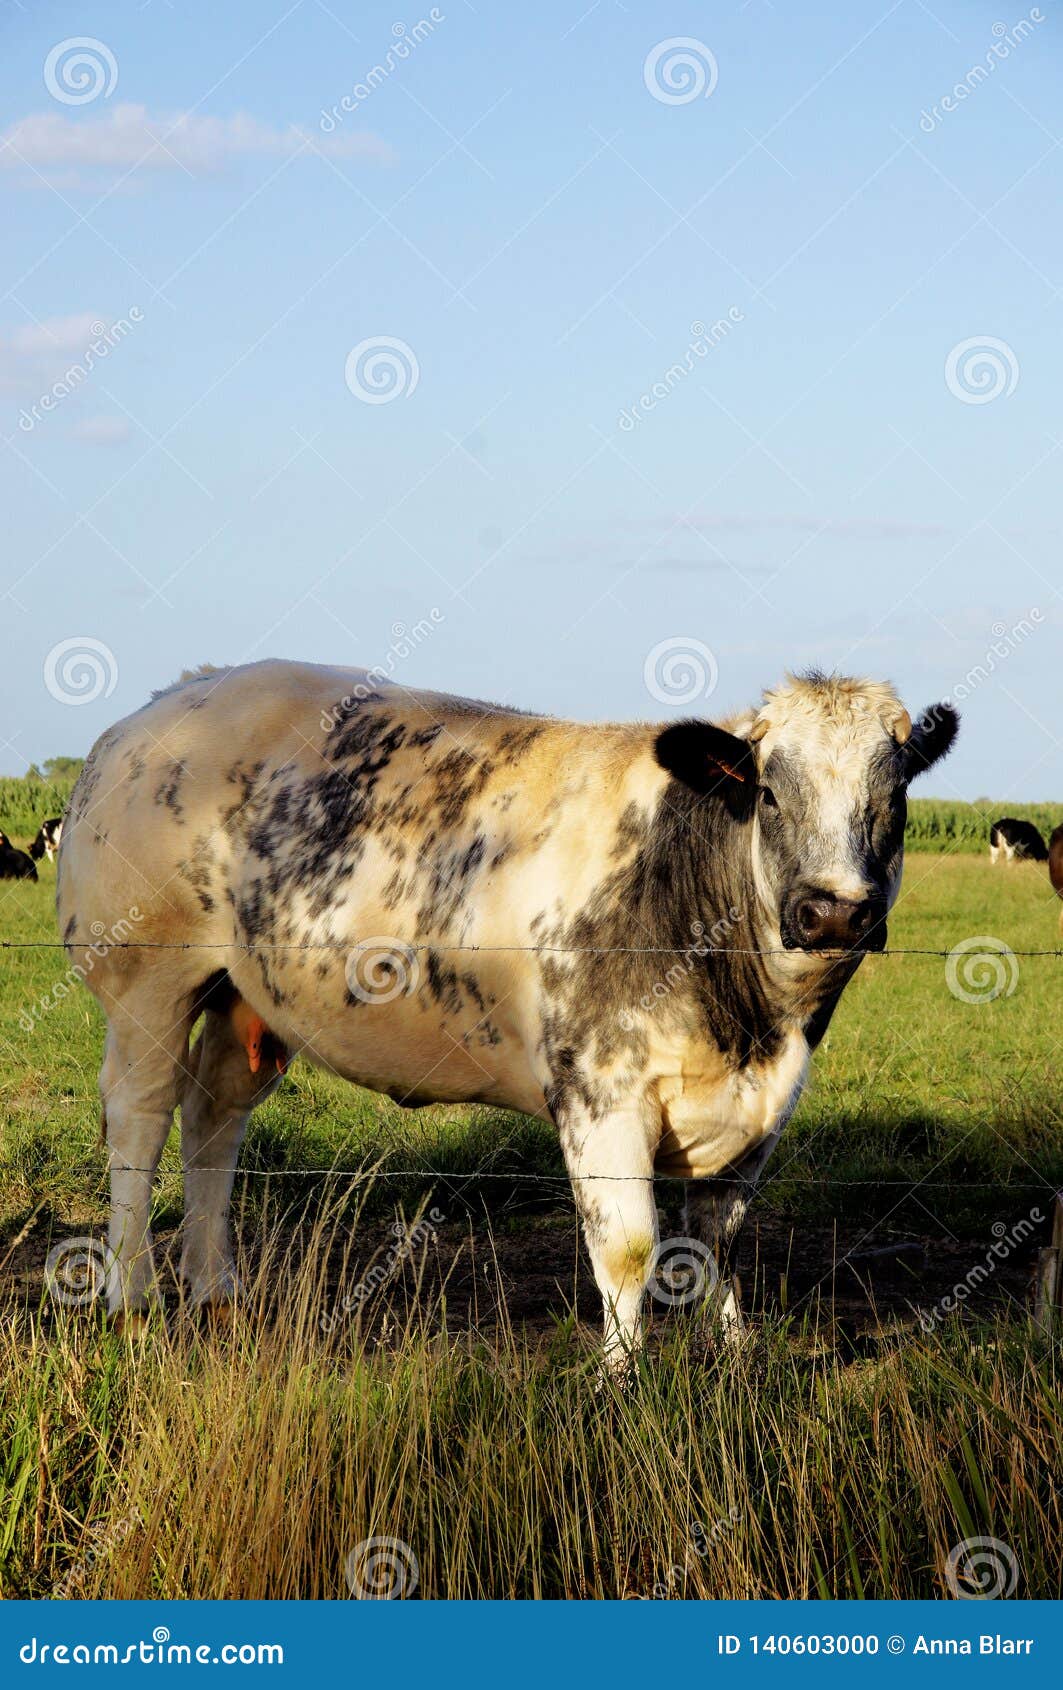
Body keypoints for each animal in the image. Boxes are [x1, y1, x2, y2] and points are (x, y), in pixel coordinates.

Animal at [57, 662, 958, 1363]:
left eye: (894, 800)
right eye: (768, 794)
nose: (833, 912)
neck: (749, 1025)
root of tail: (170, 700)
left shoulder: (760, 1108)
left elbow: (722, 1239)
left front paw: (734, 1358)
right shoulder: (598, 1092)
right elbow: (628, 1247)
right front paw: (619, 1383)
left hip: (246, 999)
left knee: (214, 1118)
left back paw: (218, 1295)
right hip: (147, 978)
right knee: (139, 1121)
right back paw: (131, 1303)